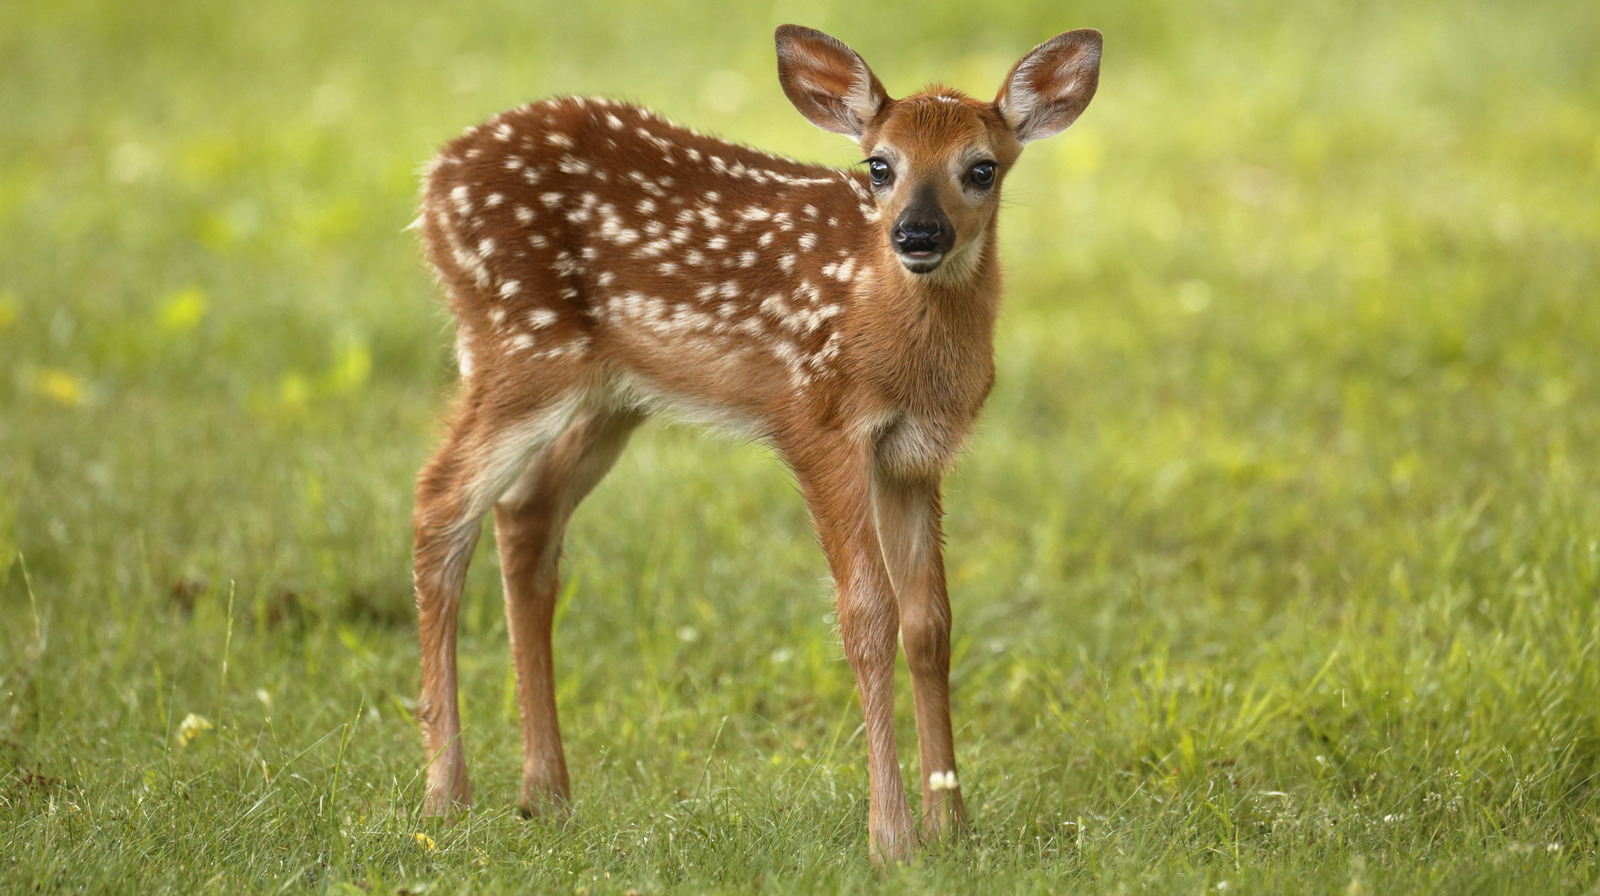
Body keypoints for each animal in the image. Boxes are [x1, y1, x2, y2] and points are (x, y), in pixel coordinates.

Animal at [410, 24, 1102, 863]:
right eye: (879, 164)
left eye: (982, 168)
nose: (917, 235)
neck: (886, 326)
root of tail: (435, 176)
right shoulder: (816, 420)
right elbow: (866, 617)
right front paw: (892, 838)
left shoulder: (915, 454)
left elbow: (930, 621)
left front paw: (953, 827)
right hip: (516, 346)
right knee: (441, 499)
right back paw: (446, 796)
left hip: (609, 394)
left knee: (526, 512)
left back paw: (546, 796)